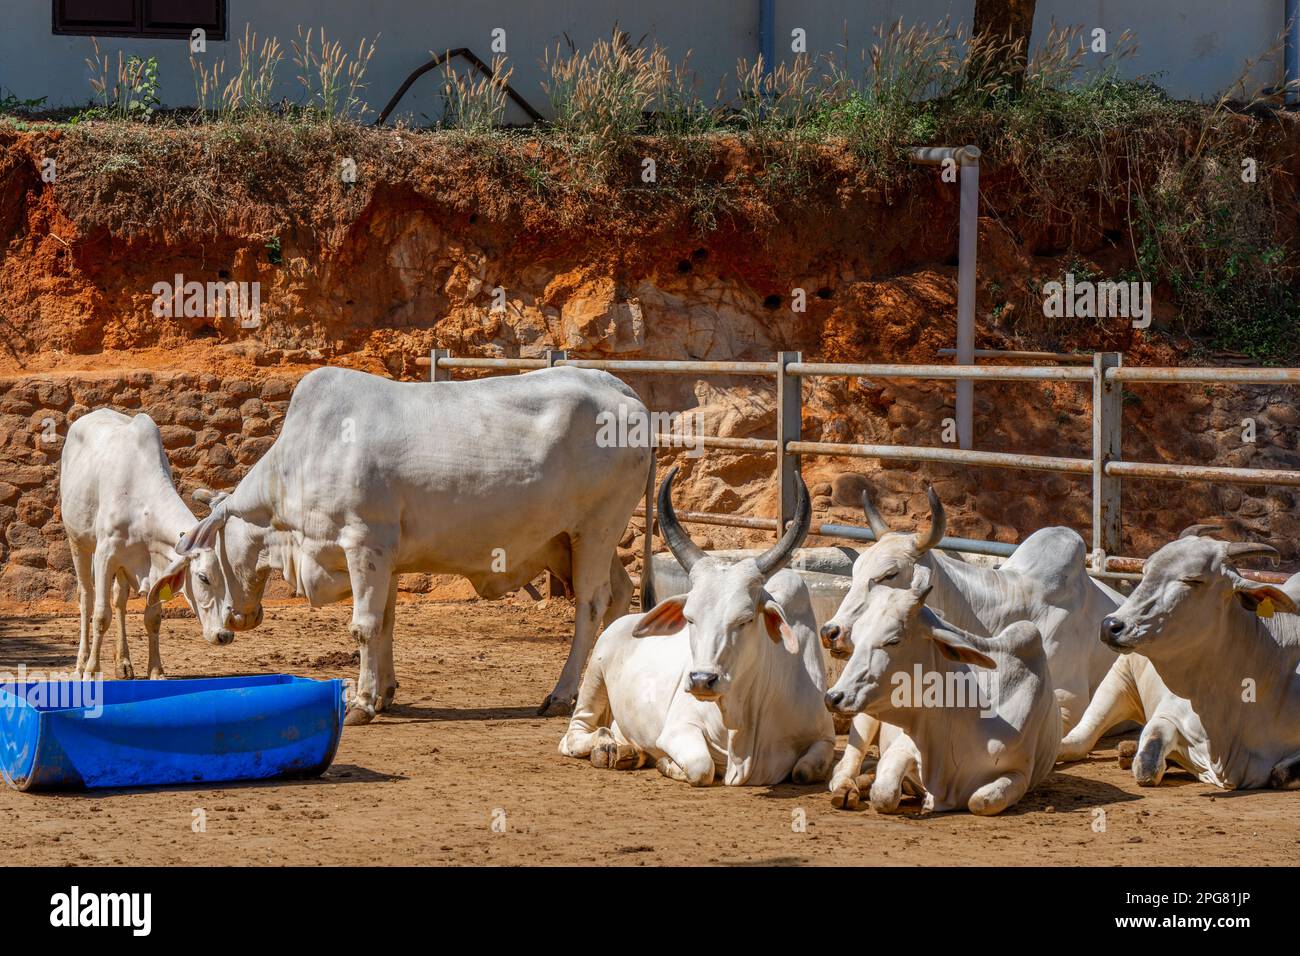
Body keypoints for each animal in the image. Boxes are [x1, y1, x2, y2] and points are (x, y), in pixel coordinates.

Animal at [59, 409, 255, 678]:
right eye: (203, 577)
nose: (224, 635)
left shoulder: (156, 563)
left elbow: (152, 617)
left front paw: (156, 671)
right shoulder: (105, 555)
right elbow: (100, 616)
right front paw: (91, 671)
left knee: (119, 600)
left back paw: (123, 662)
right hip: (77, 542)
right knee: (86, 599)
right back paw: (80, 665)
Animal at [152, 365, 651, 723]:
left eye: (205, 573)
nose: (235, 622)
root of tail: (620, 389)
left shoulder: (364, 543)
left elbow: (364, 626)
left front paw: (361, 703)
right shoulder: (386, 560)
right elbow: (386, 623)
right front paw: (383, 693)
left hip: (597, 528)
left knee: (591, 603)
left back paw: (562, 694)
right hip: (571, 542)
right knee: (620, 593)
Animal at [558, 467, 836, 786]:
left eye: (745, 619)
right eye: (689, 618)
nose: (702, 680)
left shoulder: (825, 737)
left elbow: (805, 771)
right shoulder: (679, 728)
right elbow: (702, 768)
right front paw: (666, 763)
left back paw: (630, 751)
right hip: (594, 675)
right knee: (574, 735)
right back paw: (608, 747)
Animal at [823, 566, 1061, 815]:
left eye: (894, 640)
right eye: (856, 638)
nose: (833, 697)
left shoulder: (1020, 774)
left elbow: (981, 801)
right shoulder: (906, 745)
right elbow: (884, 794)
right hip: (864, 719)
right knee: (845, 766)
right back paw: (846, 791)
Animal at [1098, 527, 1300, 790]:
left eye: (1193, 580)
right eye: (1145, 572)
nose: (1110, 625)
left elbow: (1281, 773)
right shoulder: (1168, 713)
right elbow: (1147, 765)